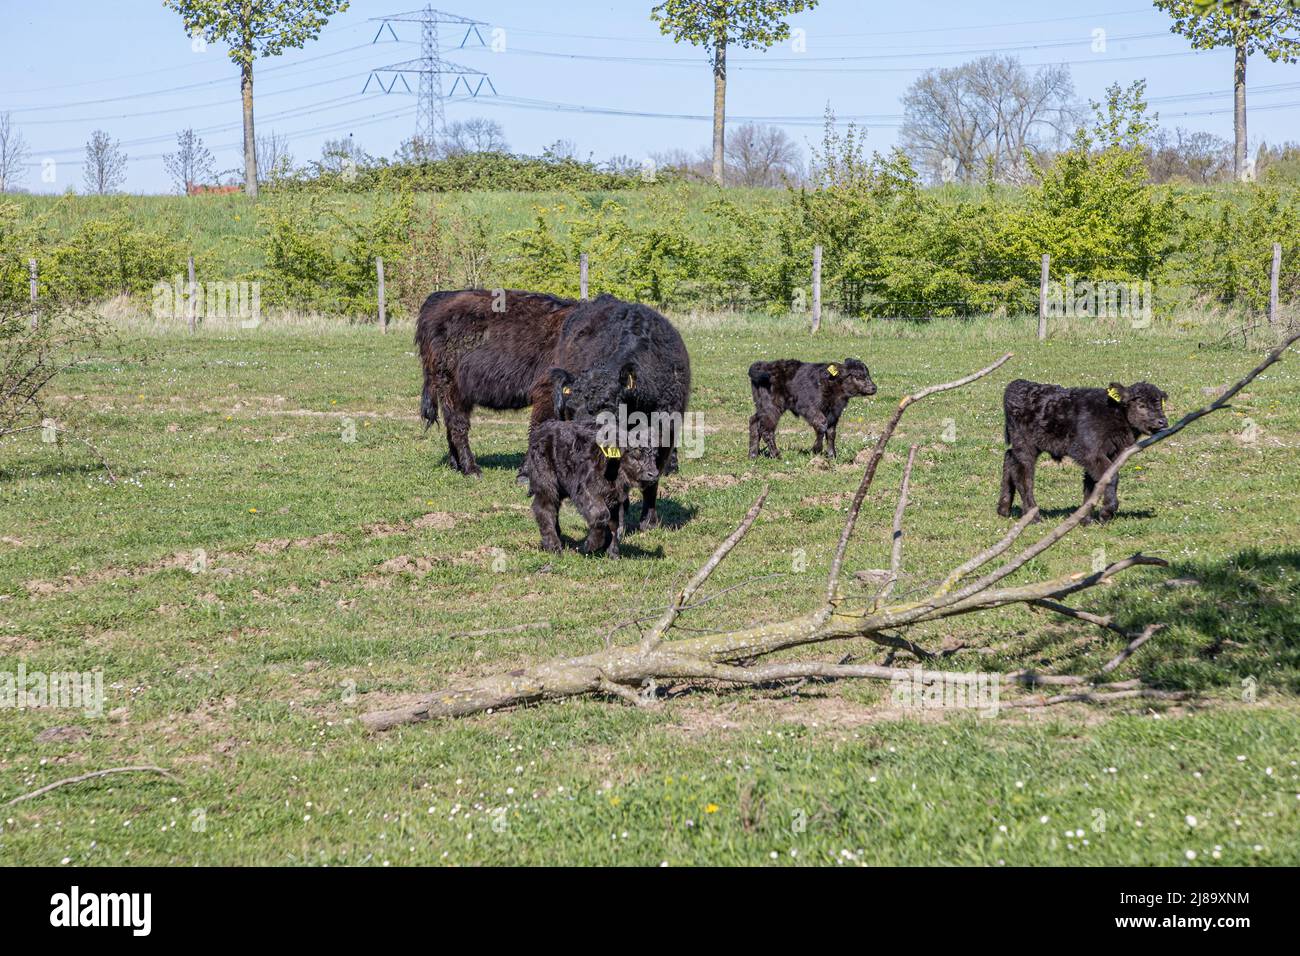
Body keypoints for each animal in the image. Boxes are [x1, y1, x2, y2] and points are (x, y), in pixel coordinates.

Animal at [414, 289, 580, 476]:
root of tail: (438, 297)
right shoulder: (547, 392)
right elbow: (540, 428)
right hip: (450, 387)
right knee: (458, 426)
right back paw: (471, 469)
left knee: (450, 424)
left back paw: (457, 466)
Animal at [520, 420, 659, 558]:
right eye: (635, 453)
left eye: (655, 456)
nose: (654, 474)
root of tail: (541, 429)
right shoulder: (586, 490)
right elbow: (602, 515)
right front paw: (591, 545)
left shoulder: (615, 498)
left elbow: (615, 524)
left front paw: (613, 553)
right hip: (545, 481)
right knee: (544, 507)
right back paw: (554, 547)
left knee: (554, 507)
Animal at [747, 358, 877, 459]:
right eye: (857, 376)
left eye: (867, 374)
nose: (874, 388)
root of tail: (765, 365)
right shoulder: (808, 407)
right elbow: (821, 425)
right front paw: (816, 450)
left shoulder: (835, 412)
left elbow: (831, 433)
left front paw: (832, 456)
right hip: (771, 407)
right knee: (766, 431)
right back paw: (777, 455)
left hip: (762, 406)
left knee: (754, 422)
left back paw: (753, 455)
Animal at [997, 379, 1169, 523]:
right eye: (1141, 405)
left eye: (1160, 404)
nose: (1162, 421)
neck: (1114, 414)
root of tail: (1019, 384)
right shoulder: (1088, 451)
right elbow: (1110, 476)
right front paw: (1106, 512)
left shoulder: (1112, 454)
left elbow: (1092, 483)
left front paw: (1085, 519)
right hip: (1025, 446)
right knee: (1023, 476)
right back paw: (1032, 516)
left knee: (1009, 458)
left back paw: (1003, 509)